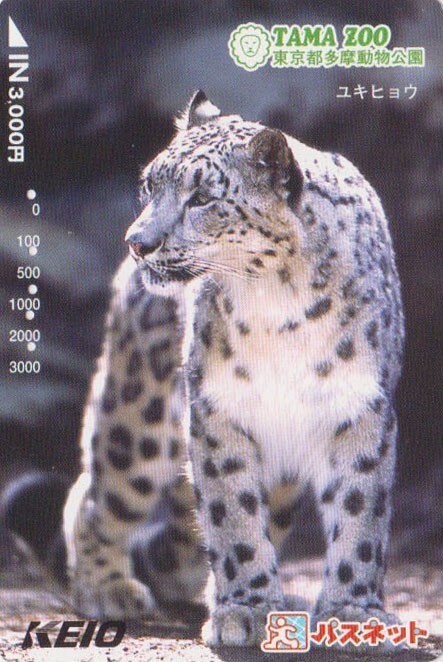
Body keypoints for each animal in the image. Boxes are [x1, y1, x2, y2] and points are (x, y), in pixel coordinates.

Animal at [63, 90, 404, 649]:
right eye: (149, 185)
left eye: (202, 198)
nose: (137, 241)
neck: (280, 305)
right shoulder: (219, 408)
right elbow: (233, 515)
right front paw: (245, 609)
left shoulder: (359, 408)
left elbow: (360, 512)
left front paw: (354, 610)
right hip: (140, 421)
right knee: (98, 494)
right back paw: (107, 587)